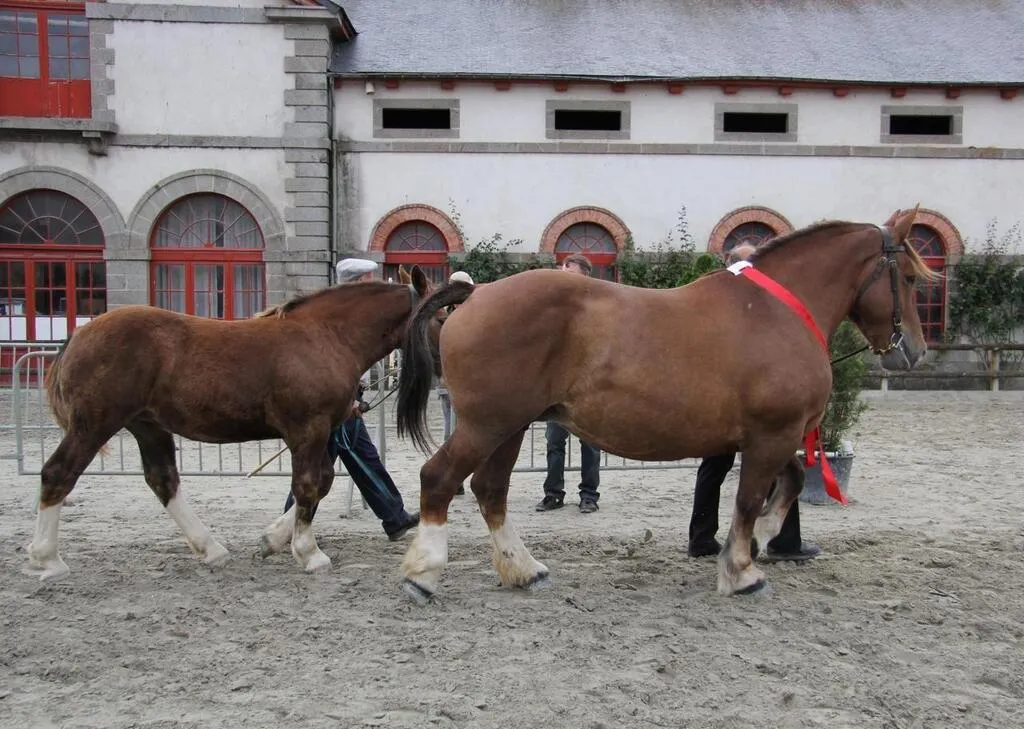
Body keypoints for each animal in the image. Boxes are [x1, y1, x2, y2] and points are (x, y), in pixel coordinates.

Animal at [23, 265, 431, 582]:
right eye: (441, 311)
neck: (326, 337)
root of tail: (79, 334)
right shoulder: (309, 429)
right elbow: (308, 485)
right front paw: (309, 553)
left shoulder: (323, 431)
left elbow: (324, 482)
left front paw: (272, 540)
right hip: (94, 425)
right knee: (58, 473)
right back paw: (48, 558)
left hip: (148, 426)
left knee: (163, 480)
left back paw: (211, 549)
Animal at [395, 207, 935, 601]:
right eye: (909, 276)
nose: (915, 350)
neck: (775, 311)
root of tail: (474, 295)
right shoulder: (772, 435)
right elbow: (749, 499)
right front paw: (742, 570)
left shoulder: (765, 437)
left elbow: (792, 482)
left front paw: (760, 539)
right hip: (486, 425)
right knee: (439, 479)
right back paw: (423, 576)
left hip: (508, 428)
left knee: (490, 490)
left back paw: (523, 571)